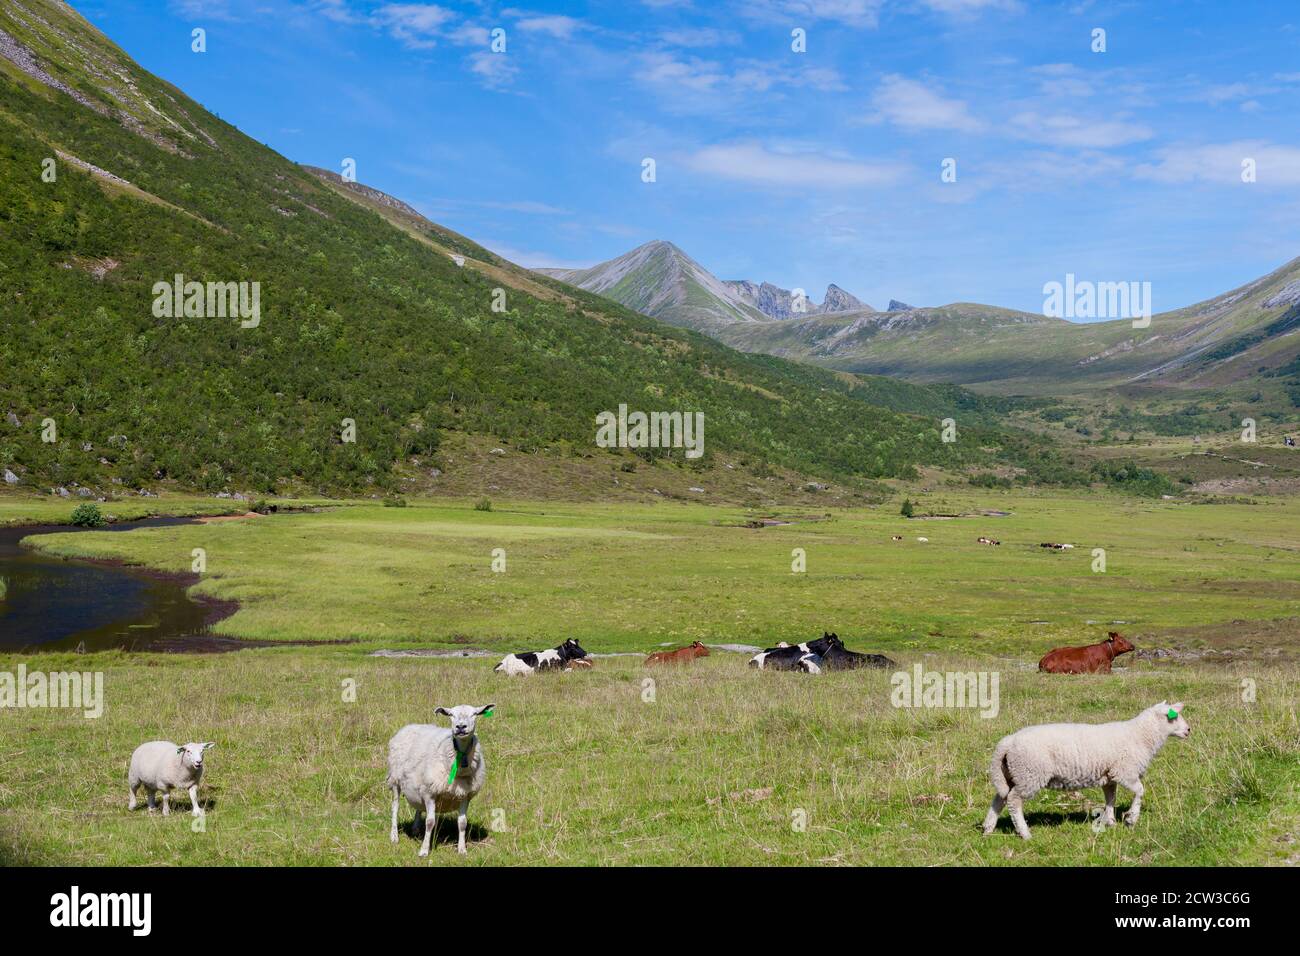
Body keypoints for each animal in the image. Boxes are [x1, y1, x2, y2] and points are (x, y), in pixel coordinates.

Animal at [387, 703, 495, 856]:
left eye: (474, 714)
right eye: (451, 715)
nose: (460, 727)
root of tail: (410, 726)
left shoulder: (465, 795)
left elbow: (462, 823)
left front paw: (462, 849)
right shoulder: (430, 793)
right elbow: (430, 822)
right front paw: (424, 850)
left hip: (419, 783)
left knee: (419, 808)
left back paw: (415, 828)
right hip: (395, 779)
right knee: (395, 807)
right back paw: (394, 836)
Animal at [982, 701, 1190, 840]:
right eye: (1173, 718)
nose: (1189, 730)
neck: (1141, 735)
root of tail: (1008, 741)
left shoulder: (1110, 776)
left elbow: (1111, 799)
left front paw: (1110, 821)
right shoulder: (1125, 772)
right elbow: (1140, 791)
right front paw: (1131, 818)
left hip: (1010, 774)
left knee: (999, 798)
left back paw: (988, 828)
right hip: (1029, 774)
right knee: (1013, 800)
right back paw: (1024, 833)